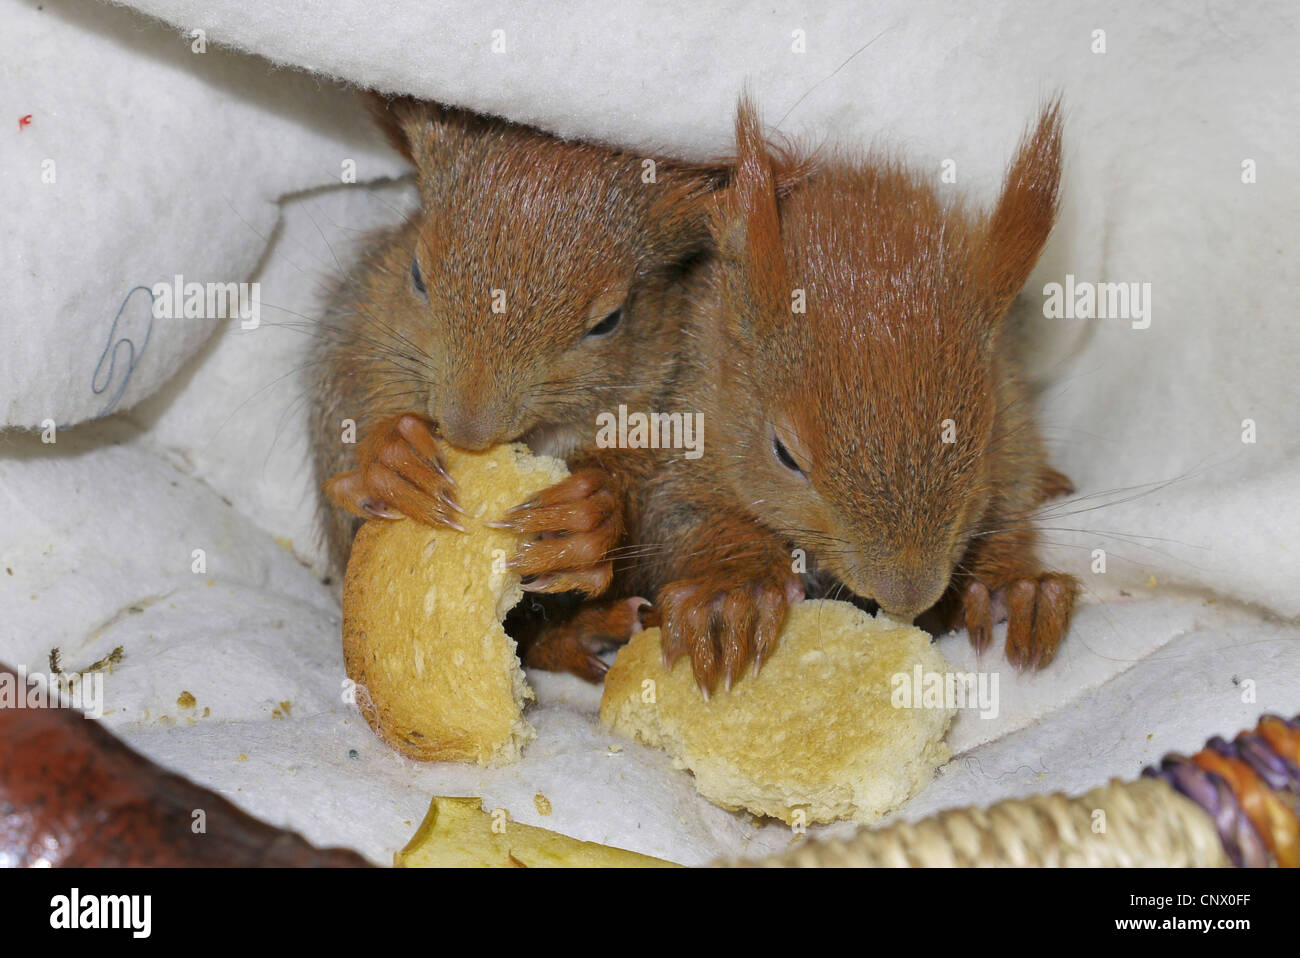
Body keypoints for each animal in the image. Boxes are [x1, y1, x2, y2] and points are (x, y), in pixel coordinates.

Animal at [310, 95, 723, 677]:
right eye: (415, 273)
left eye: (609, 322)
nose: (467, 430)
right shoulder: (357, 325)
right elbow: (346, 413)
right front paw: (390, 460)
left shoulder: (665, 400)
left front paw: (589, 519)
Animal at [613, 96, 1078, 696]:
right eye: (784, 454)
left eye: (984, 445)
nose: (906, 596)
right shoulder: (681, 409)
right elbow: (680, 514)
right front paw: (733, 594)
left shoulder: (1016, 424)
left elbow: (1014, 505)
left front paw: (1013, 586)